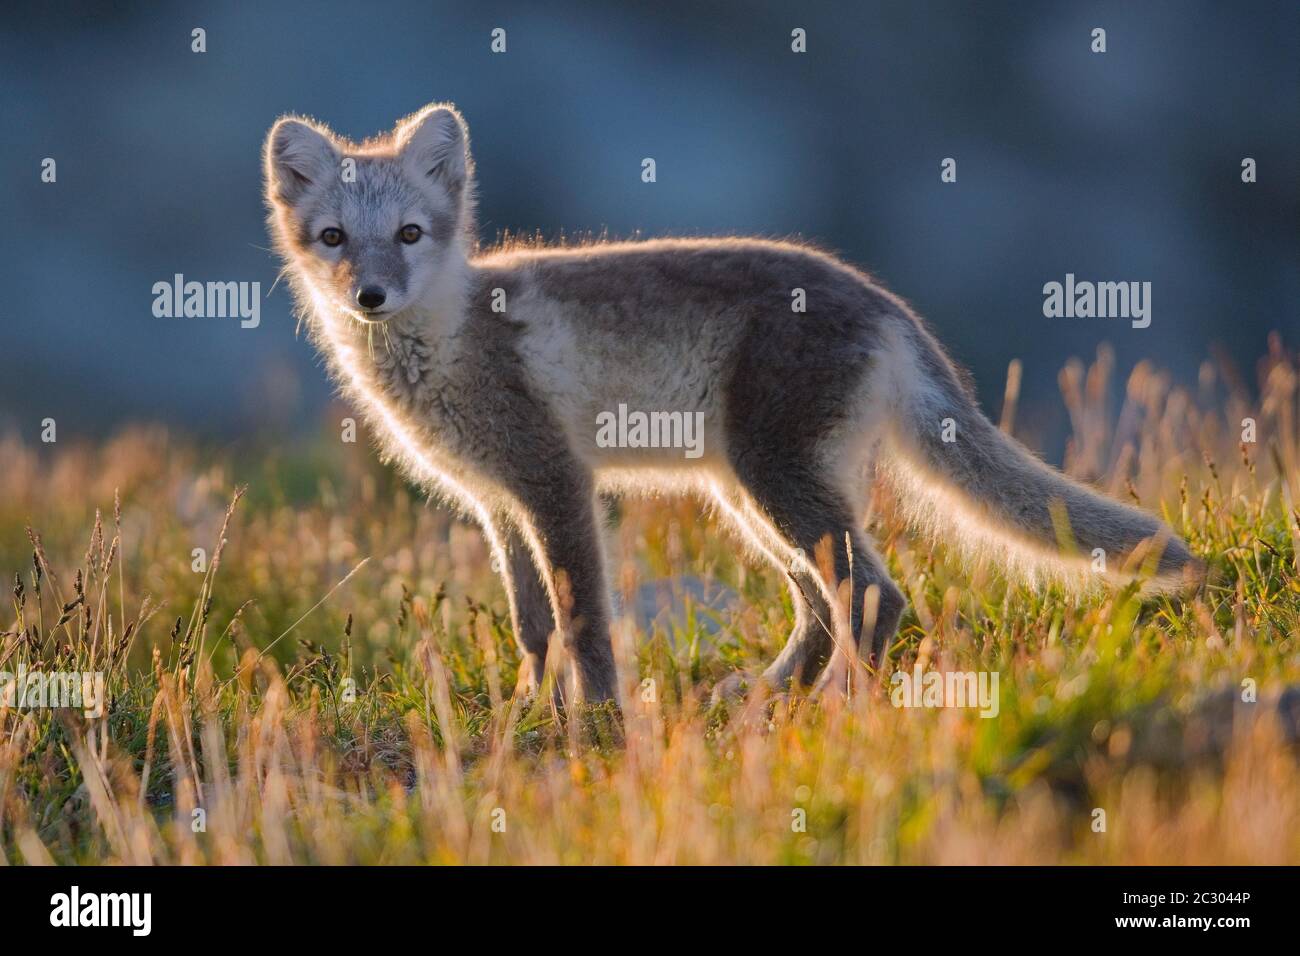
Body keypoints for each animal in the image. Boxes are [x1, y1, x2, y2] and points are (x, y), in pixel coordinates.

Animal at [262, 102, 1200, 705]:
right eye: (335, 238)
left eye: (410, 234)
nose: (371, 296)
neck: (451, 341)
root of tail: (884, 302)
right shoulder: (499, 501)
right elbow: (533, 626)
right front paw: (526, 711)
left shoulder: (555, 483)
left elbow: (583, 618)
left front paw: (597, 723)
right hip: (748, 494)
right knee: (822, 604)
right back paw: (770, 697)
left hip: (772, 478)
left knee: (874, 596)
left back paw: (835, 708)